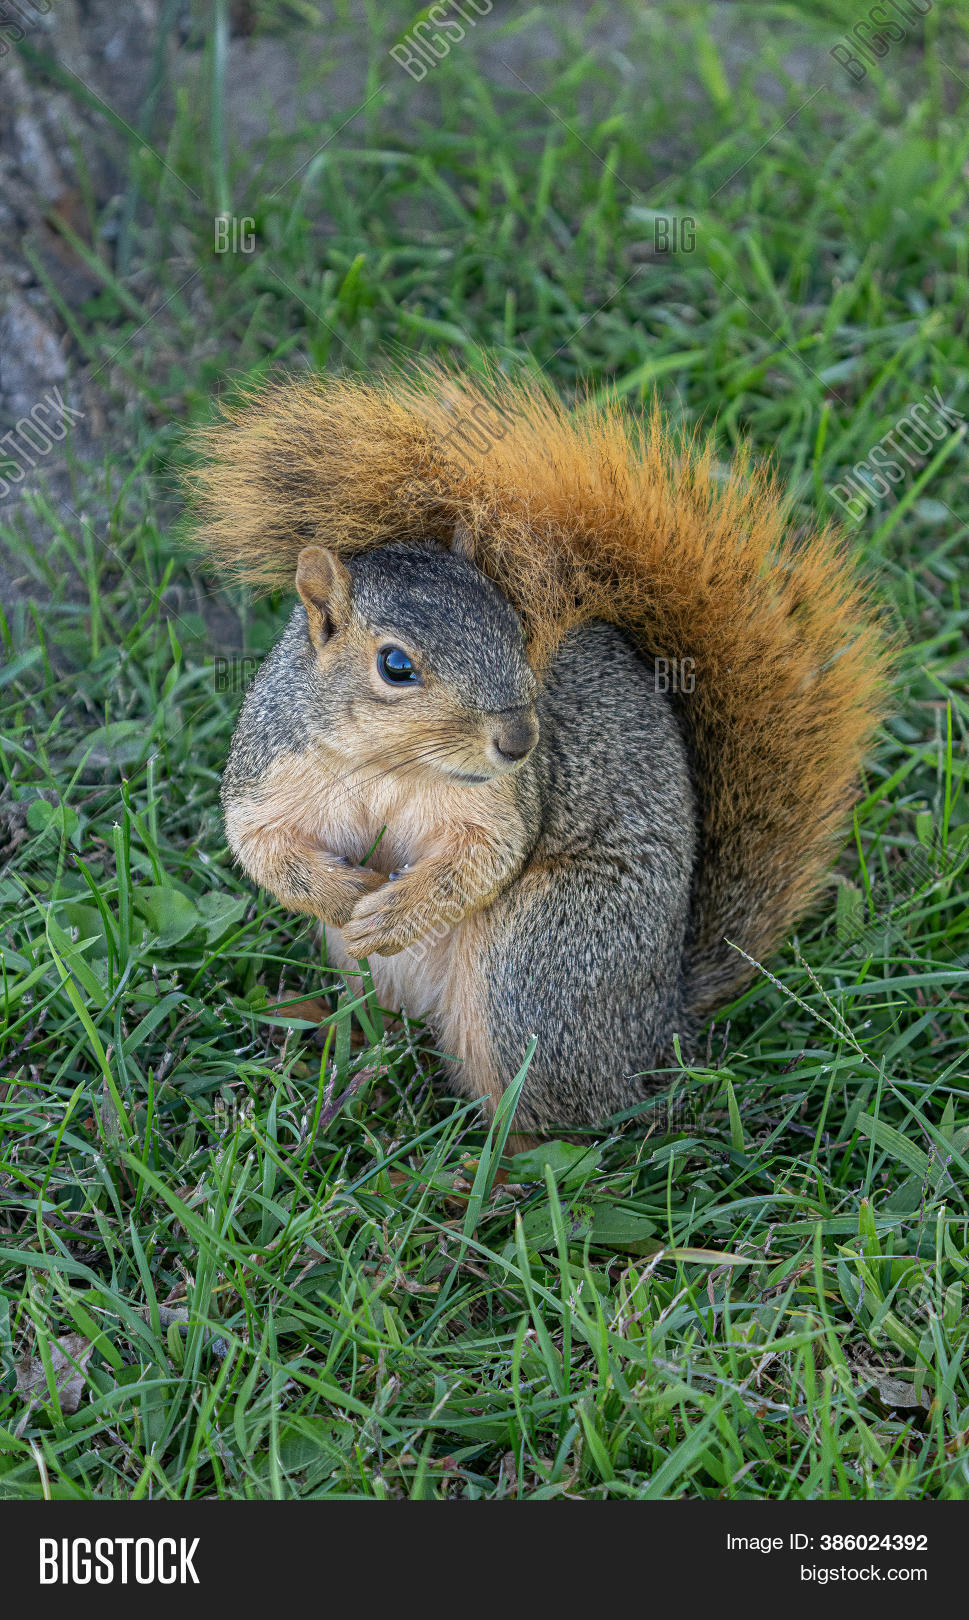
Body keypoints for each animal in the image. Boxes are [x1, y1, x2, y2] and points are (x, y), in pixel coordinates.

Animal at [187, 364, 890, 1135]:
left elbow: (485, 859)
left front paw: (395, 909)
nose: (520, 742)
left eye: (516, 628)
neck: (392, 766)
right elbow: (262, 844)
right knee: (395, 1032)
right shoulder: (272, 766)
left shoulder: (502, 803)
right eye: (395, 666)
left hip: (539, 964)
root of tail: (657, 1031)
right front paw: (345, 893)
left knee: (551, 1122)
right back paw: (324, 1027)